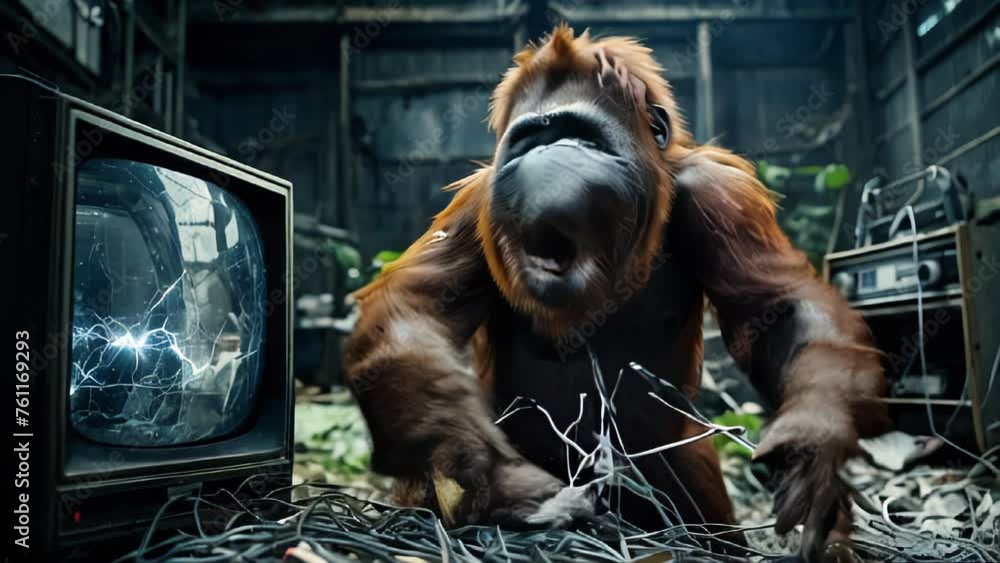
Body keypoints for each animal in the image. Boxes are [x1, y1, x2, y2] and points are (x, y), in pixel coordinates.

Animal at [345, 25, 889, 562]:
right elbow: (414, 311)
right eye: (531, 139)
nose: (547, 157)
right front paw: (480, 465)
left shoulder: (718, 192)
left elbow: (780, 309)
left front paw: (813, 446)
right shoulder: (477, 201)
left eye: (580, 135)